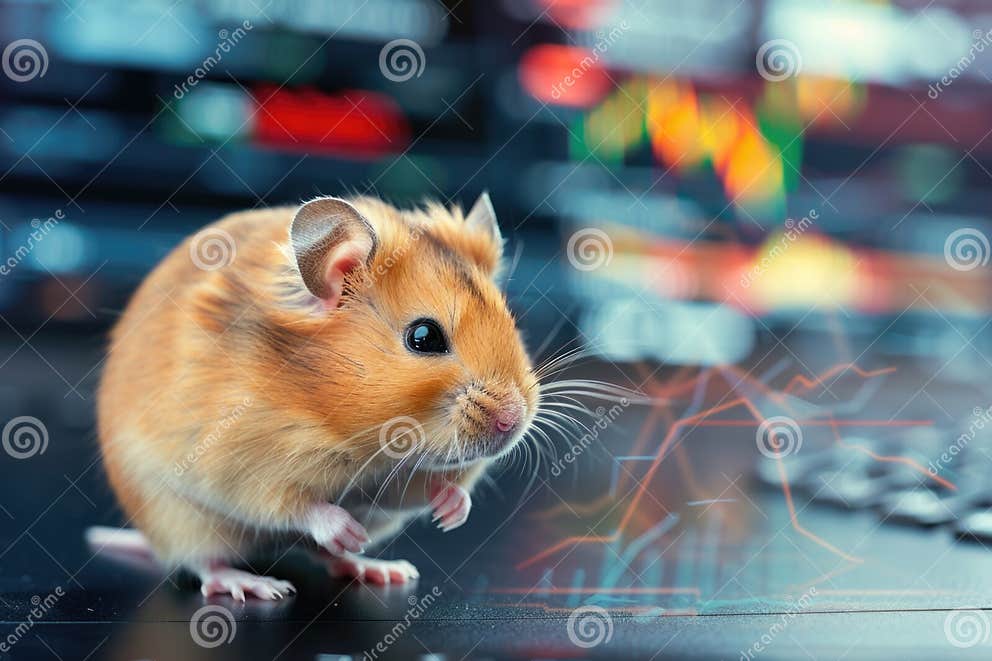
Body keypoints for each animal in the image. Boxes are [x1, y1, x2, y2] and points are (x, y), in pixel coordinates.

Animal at [90, 193, 538, 599]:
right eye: (424, 337)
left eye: (510, 321)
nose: (512, 421)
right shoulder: (242, 466)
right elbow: (297, 505)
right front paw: (347, 530)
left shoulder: (393, 481)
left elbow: (425, 489)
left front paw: (451, 513)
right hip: (179, 519)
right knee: (206, 565)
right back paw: (260, 585)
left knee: (327, 559)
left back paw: (380, 568)